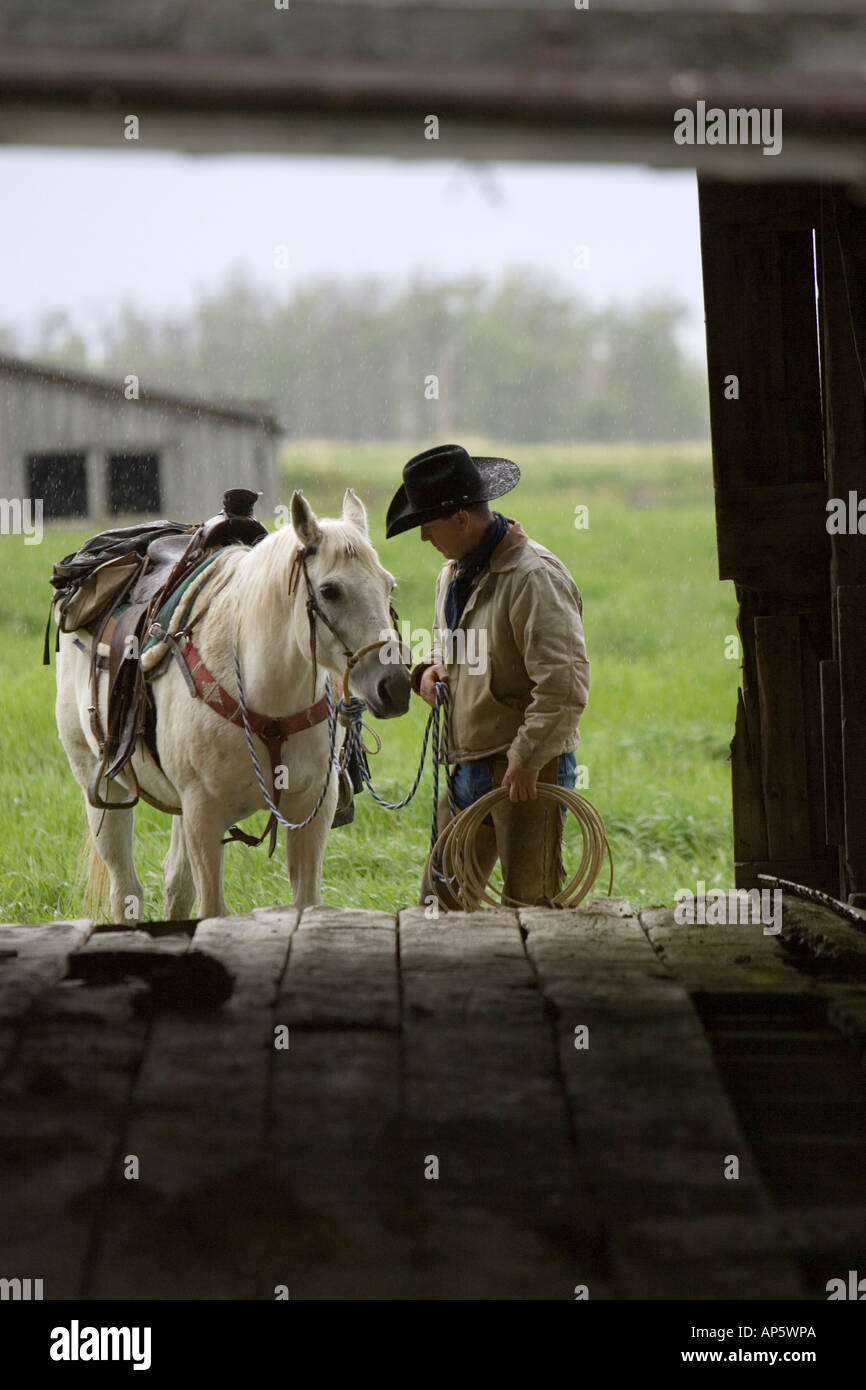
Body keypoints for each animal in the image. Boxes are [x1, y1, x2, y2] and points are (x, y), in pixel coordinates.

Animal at [55, 489, 412, 921]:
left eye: (388, 585)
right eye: (330, 590)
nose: (395, 687)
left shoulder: (312, 810)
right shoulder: (203, 817)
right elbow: (211, 908)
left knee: (177, 886)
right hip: (102, 784)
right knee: (127, 891)